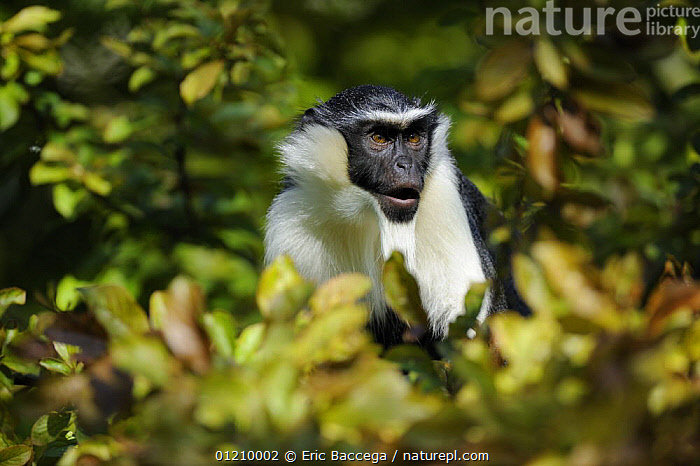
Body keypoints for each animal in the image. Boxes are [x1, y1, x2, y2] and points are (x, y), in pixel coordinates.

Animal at [264, 85, 528, 346]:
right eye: (379, 137)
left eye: (413, 137)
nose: (406, 165)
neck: (369, 214)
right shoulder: (293, 214)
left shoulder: (444, 199)